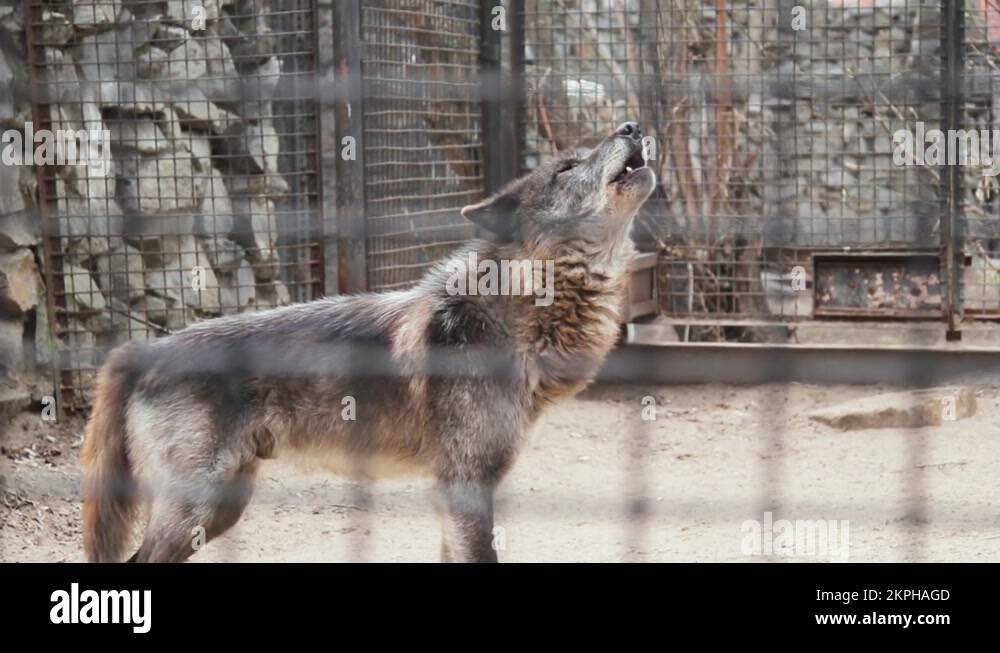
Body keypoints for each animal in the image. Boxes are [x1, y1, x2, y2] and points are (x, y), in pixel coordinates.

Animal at [81, 121, 655, 563]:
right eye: (566, 168)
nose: (632, 126)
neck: (517, 310)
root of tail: (145, 349)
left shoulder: (454, 491)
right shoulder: (466, 484)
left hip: (223, 505)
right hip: (196, 507)